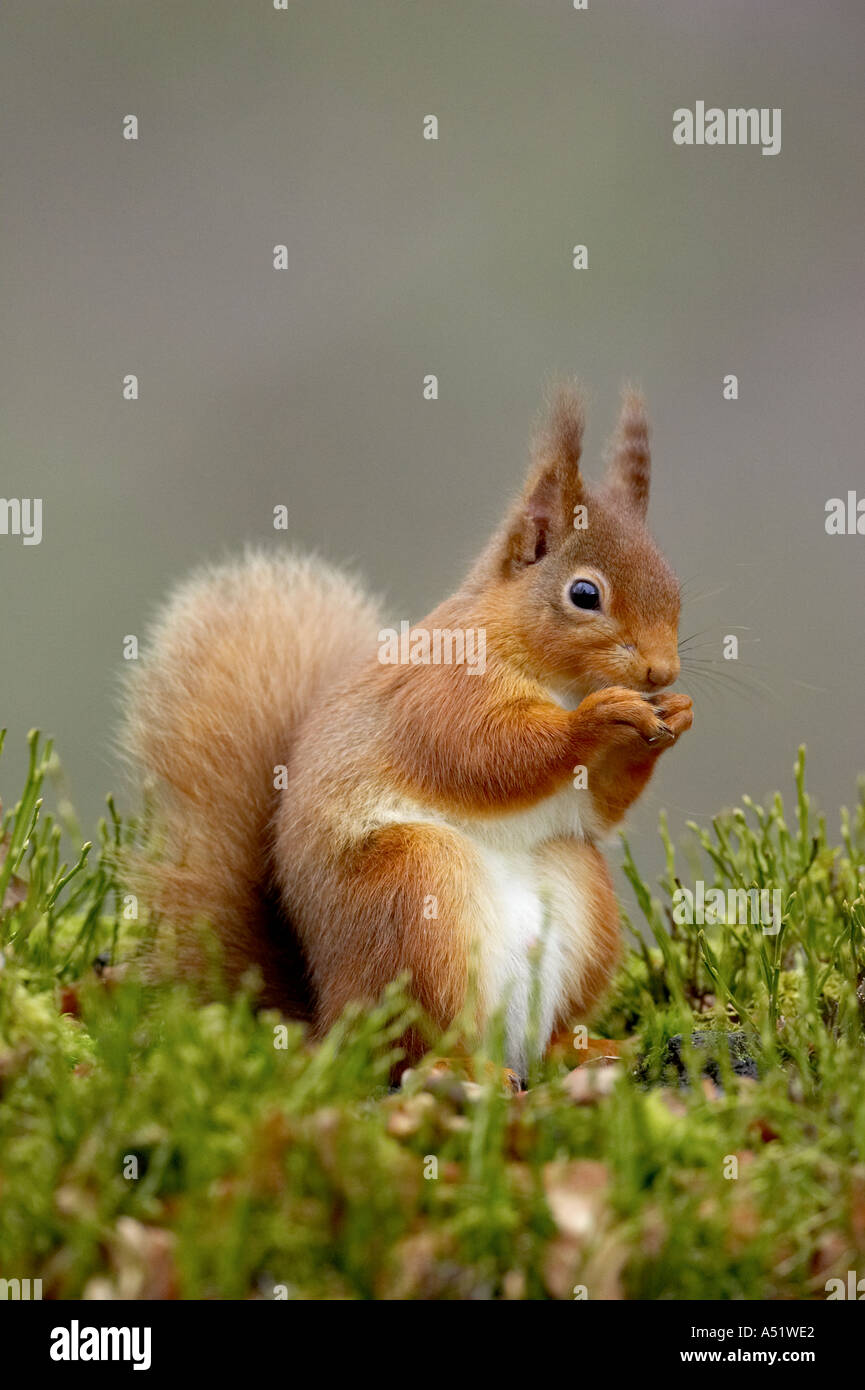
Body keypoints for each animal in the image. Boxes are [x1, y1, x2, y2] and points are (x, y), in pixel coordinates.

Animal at [122, 383, 692, 1077]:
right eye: (585, 594)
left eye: (675, 585)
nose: (662, 670)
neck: (555, 677)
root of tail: (329, 1018)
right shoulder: (439, 695)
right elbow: (489, 755)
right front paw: (598, 719)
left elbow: (600, 803)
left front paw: (676, 715)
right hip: (415, 893)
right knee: (410, 1052)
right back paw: (464, 1068)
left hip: (579, 893)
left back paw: (584, 1049)